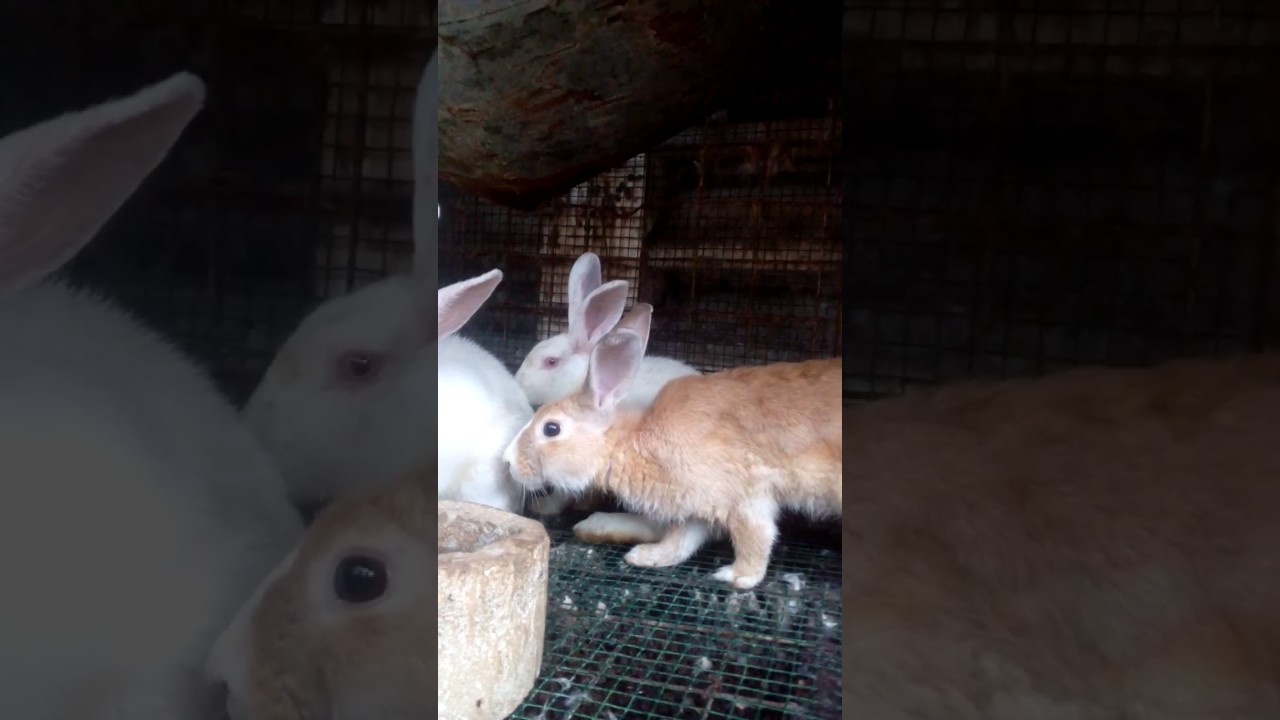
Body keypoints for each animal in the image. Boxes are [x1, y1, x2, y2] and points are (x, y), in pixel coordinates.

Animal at [503, 303, 842, 589]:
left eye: (551, 428)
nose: (507, 460)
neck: (633, 441)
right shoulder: (697, 509)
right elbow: (681, 541)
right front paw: (646, 557)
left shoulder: (747, 497)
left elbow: (755, 537)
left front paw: (737, 576)